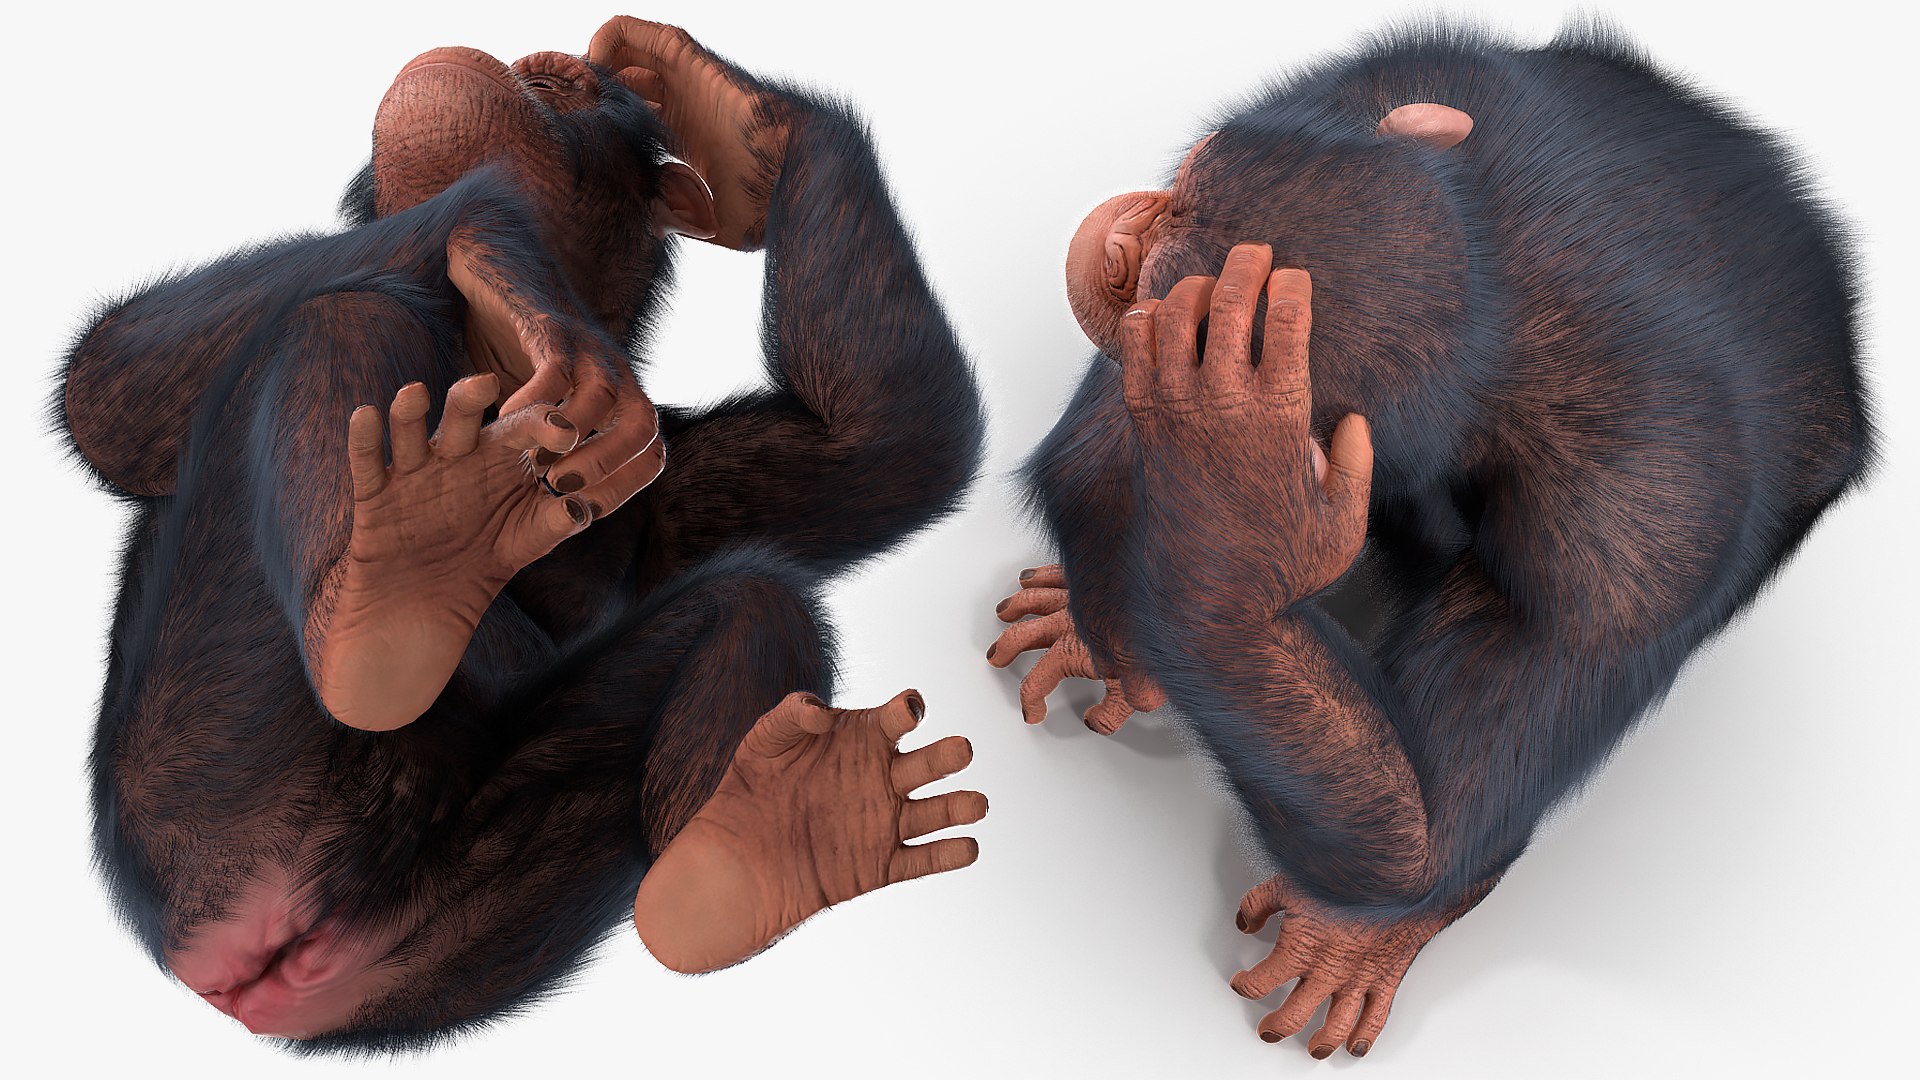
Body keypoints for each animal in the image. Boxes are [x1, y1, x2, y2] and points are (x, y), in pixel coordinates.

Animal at [55, 19, 987, 1049]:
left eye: (561, 90)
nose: (540, 69)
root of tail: (237, 962)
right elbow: (110, 382)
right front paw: (498, 246)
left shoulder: (677, 484)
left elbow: (878, 452)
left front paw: (723, 104)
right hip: (216, 803)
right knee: (343, 311)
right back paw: (414, 573)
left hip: (434, 949)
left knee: (749, 606)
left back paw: (778, 846)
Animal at [989, 21, 1873, 1058]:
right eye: (1192, 187)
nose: (1122, 237)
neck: (1509, 303)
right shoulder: (1373, 81)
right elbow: (1097, 461)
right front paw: (1120, 618)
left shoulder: (1641, 535)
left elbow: (1426, 833)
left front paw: (1238, 489)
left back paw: (1363, 937)